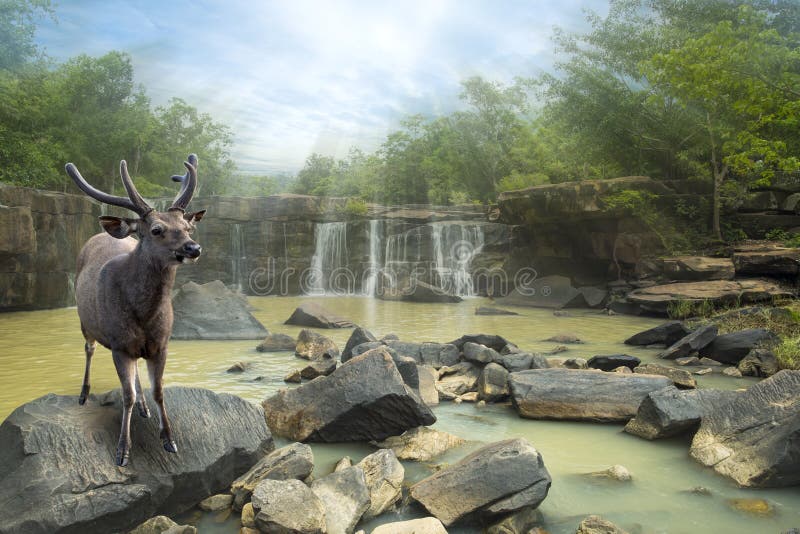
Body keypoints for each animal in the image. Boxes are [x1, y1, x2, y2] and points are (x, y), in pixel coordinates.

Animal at [66, 154, 205, 466]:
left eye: (188, 227)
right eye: (156, 230)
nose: (194, 248)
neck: (144, 315)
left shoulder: (161, 343)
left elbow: (159, 391)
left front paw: (169, 440)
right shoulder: (118, 344)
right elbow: (125, 395)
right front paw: (122, 451)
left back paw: (143, 407)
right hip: (84, 320)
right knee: (89, 349)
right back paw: (83, 395)